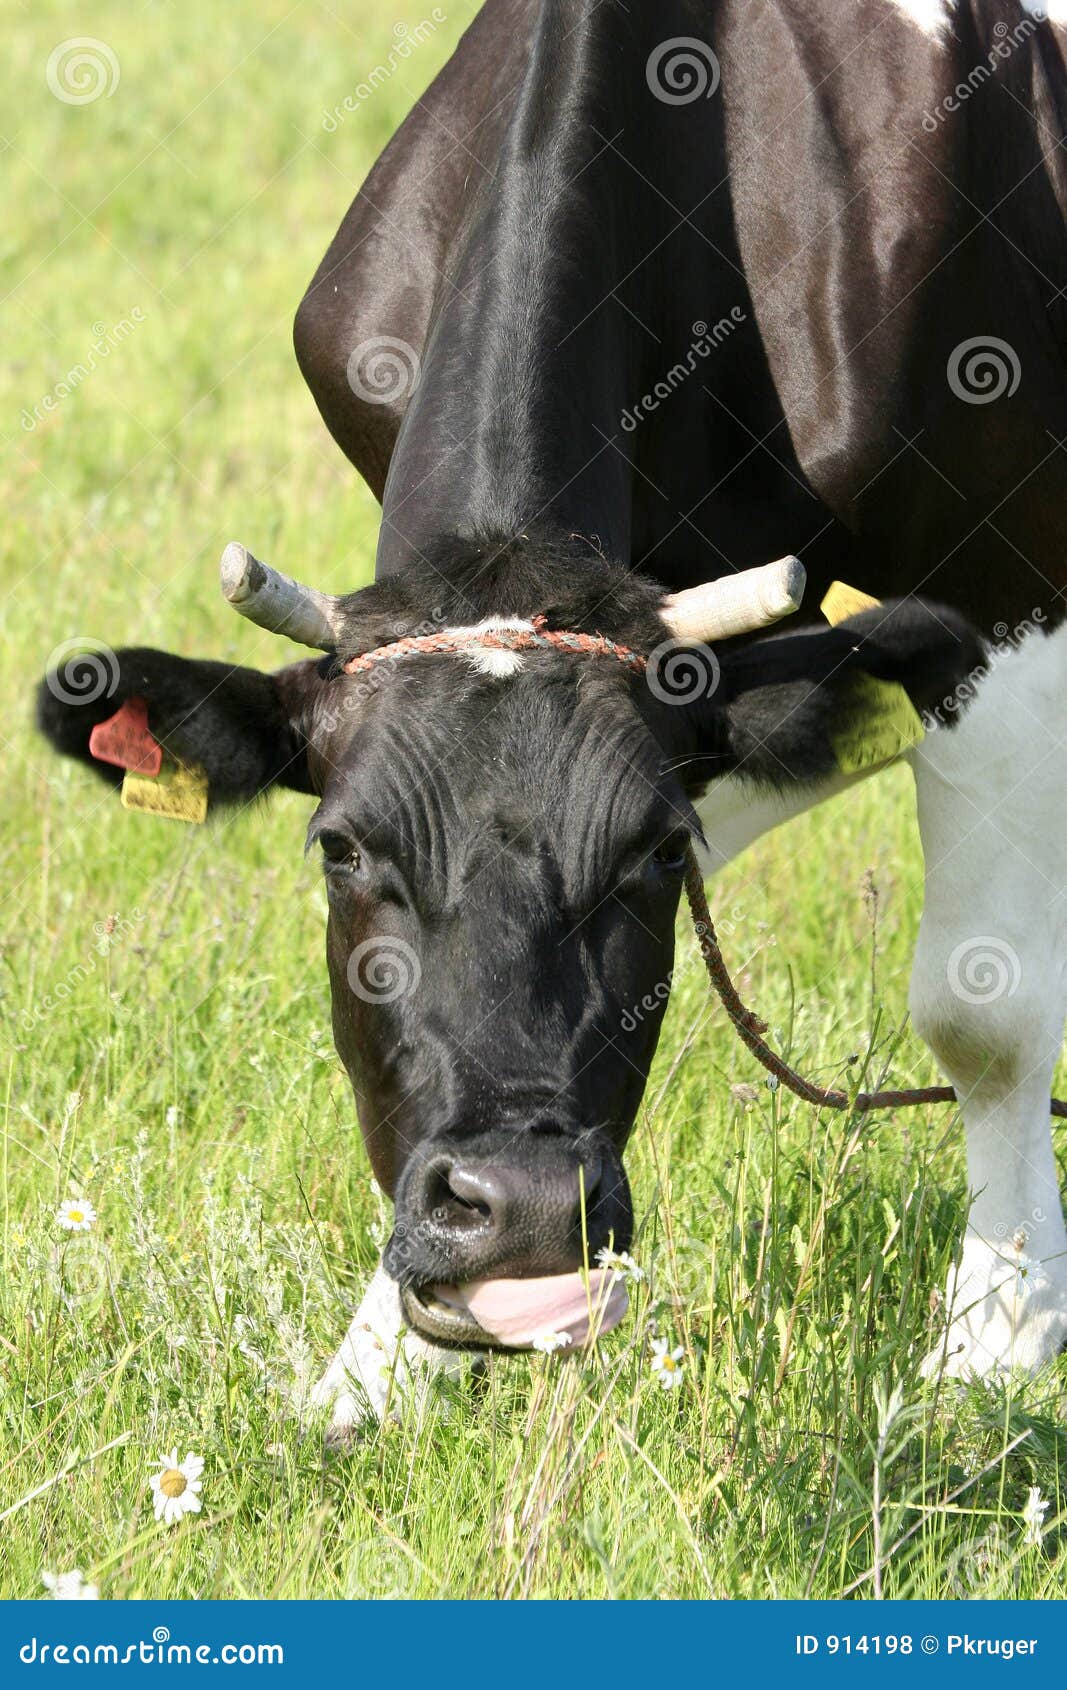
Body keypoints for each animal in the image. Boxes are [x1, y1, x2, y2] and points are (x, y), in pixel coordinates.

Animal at [37, 0, 1067, 1441]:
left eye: (649, 853)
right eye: (339, 848)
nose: (522, 1214)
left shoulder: (1008, 568)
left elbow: (983, 1001)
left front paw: (991, 1343)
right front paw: (379, 1361)